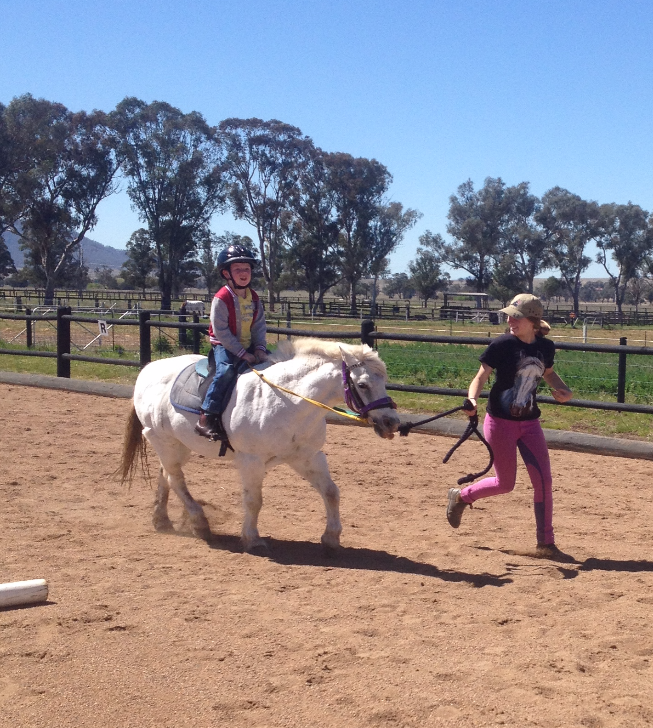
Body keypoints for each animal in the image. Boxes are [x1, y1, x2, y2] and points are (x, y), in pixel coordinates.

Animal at [117, 338, 400, 551]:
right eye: (362, 384)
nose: (392, 422)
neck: (288, 400)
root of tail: (148, 369)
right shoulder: (251, 461)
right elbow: (254, 500)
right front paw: (252, 539)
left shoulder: (308, 457)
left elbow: (331, 492)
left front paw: (331, 538)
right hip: (162, 440)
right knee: (176, 480)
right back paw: (200, 524)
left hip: (176, 445)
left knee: (166, 475)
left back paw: (162, 520)